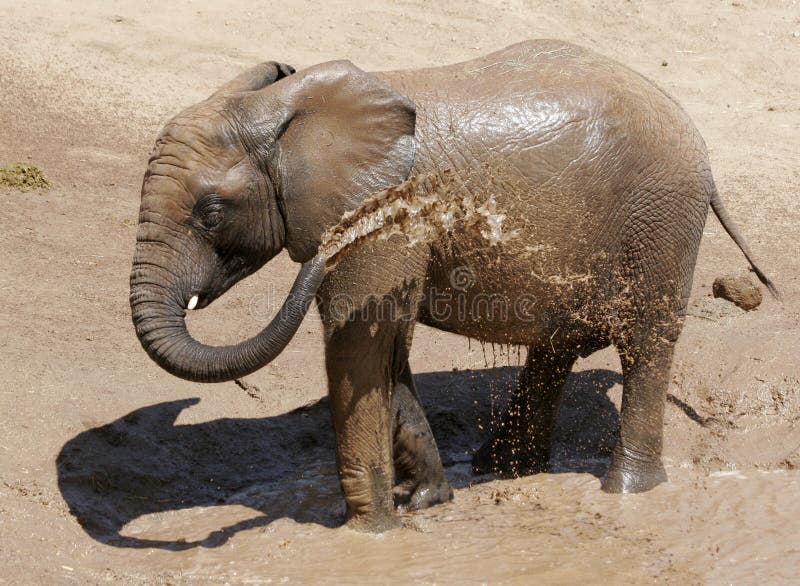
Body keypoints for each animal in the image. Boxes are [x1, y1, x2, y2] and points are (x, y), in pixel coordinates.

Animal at [129, 40, 777, 532]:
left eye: (211, 214)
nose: (336, 241)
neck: (285, 113)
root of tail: (697, 139)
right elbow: (385, 347)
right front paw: (425, 504)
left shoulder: (378, 228)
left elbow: (357, 342)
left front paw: (369, 534)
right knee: (558, 349)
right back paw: (504, 470)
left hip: (661, 222)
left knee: (644, 347)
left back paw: (625, 491)